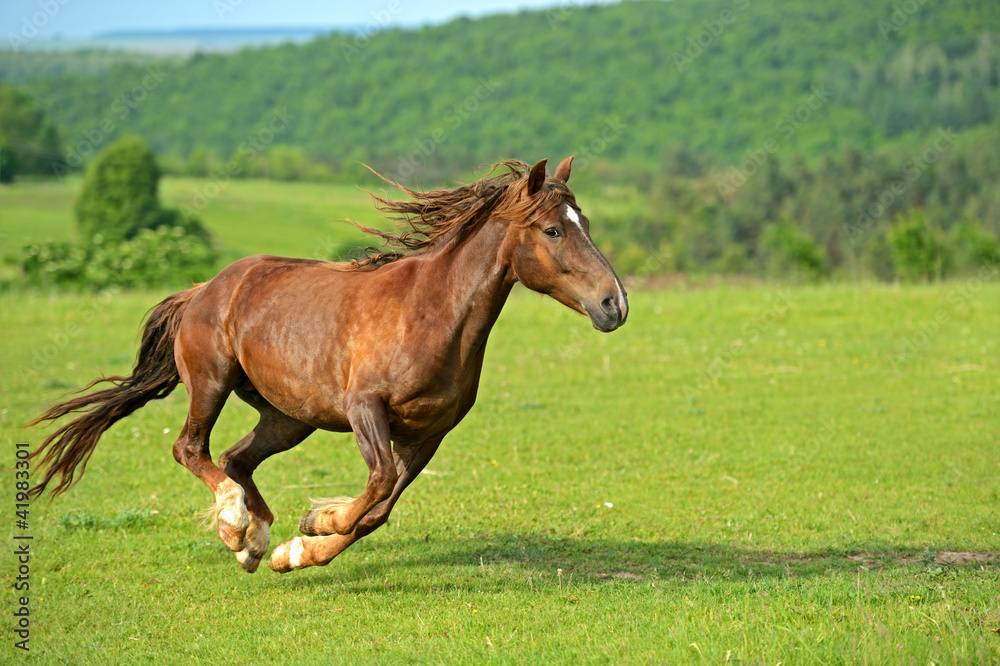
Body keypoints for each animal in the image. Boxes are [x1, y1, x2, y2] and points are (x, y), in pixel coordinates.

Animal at [27, 156, 628, 574]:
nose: (614, 305)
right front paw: (317, 521)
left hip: (290, 417)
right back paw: (234, 525)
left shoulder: (429, 433)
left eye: (584, 221)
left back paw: (255, 543)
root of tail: (205, 288)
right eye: (553, 230)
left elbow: (379, 509)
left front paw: (298, 548)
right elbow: (377, 485)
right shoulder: (365, 407)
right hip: (213, 382)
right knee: (192, 449)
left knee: (236, 458)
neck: (434, 312)